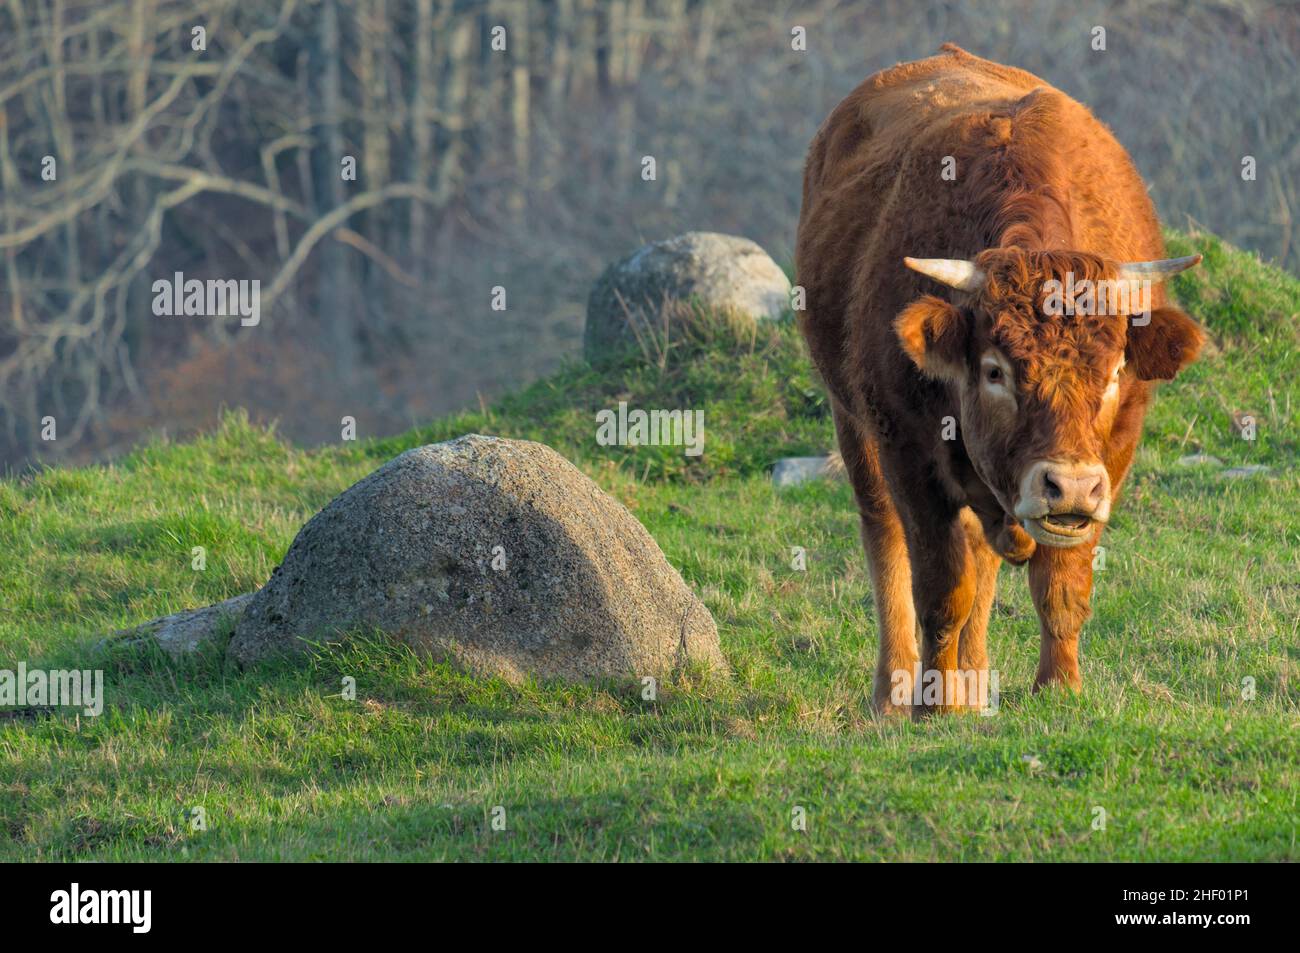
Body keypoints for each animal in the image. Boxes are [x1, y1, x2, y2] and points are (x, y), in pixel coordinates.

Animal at [794, 44, 1205, 714]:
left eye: (1116, 371)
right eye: (994, 370)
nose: (1068, 486)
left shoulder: (1111, 460)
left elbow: (1061, 584)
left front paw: (1059, 689)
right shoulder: (908, 452)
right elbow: (942, 590)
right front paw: (933, 707)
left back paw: (975, 682)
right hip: (852, 422)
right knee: (885, 541)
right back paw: (894, 692)